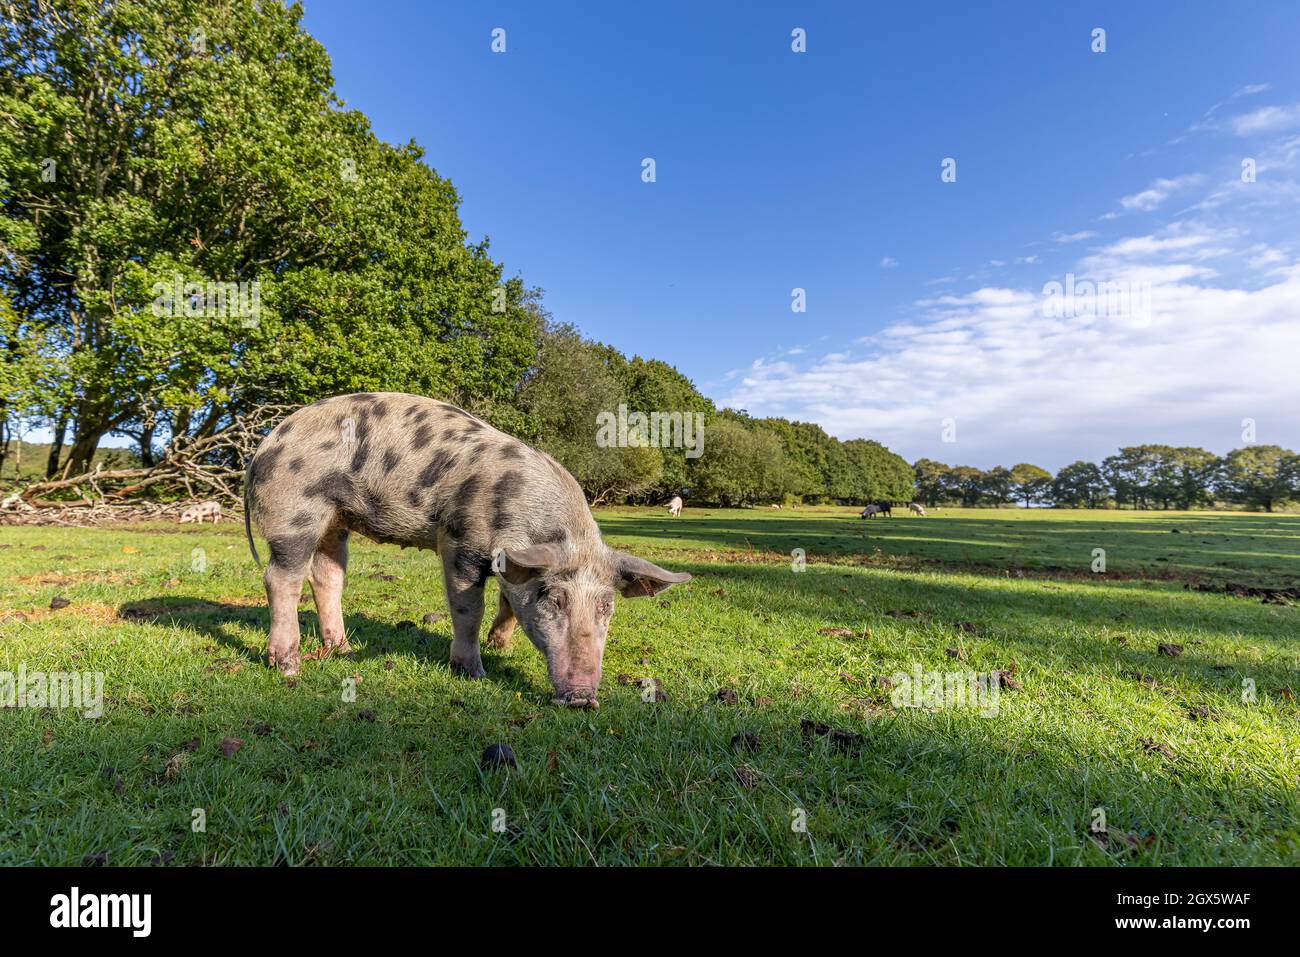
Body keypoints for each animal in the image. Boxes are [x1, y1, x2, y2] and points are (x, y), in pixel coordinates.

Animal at [243, 393, 691, 708]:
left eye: (606, 606)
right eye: (553, 599)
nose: (582, 698)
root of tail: (267, 442)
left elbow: (507, 603)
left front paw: (500, 645)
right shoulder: (459, 541)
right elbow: (468, 606)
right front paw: (474, 673)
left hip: (336, 522)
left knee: (327, 576)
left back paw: (342, 650)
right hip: (296, 511)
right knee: (280, 576)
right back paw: (288, 666)